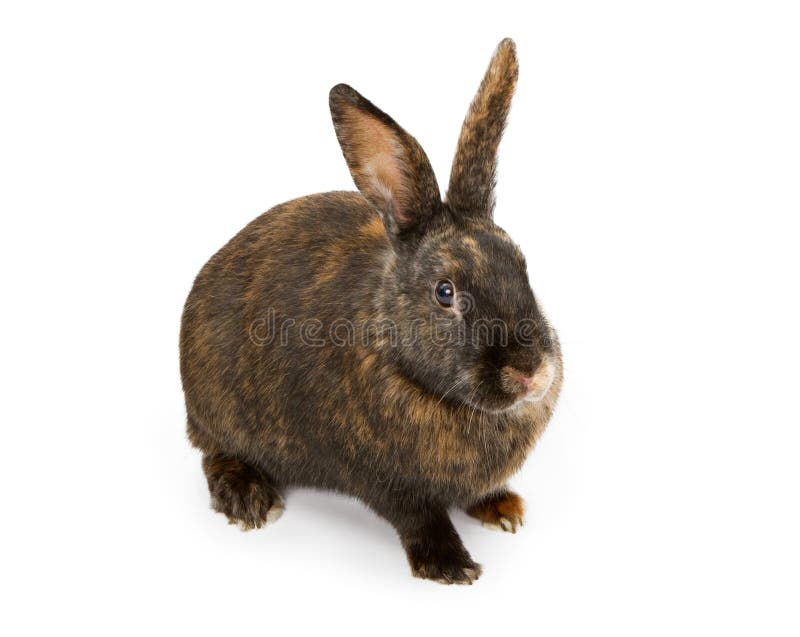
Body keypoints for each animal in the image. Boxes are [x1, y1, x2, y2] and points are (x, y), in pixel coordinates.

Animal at [180, 39, 564, 584]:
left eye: (522, 264)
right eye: (444, 292)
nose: (531, 374)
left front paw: (503, 509)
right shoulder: (386, 482)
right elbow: (419, 516)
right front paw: (451, 566)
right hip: (218, 411)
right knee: (213, 452)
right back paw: (249, 500)